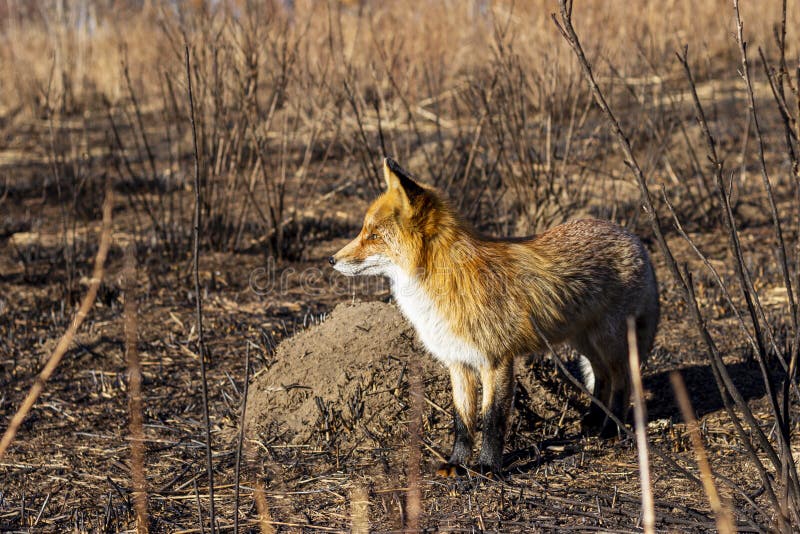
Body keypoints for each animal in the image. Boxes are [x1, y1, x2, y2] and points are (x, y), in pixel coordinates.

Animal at [329, 157, 659, 476]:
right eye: (364, 230)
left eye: (373, 235)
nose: (332, 260)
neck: (446, 280)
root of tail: (632, 237)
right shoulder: (458, 361)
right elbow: (462, 421)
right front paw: (457, 464)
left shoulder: (497, 360)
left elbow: (492, 420)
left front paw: (488, 468)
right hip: (581, 340)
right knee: (601, 374)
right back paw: (593, 419)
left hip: (607, 339)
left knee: (621, 378)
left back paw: (613, 428)